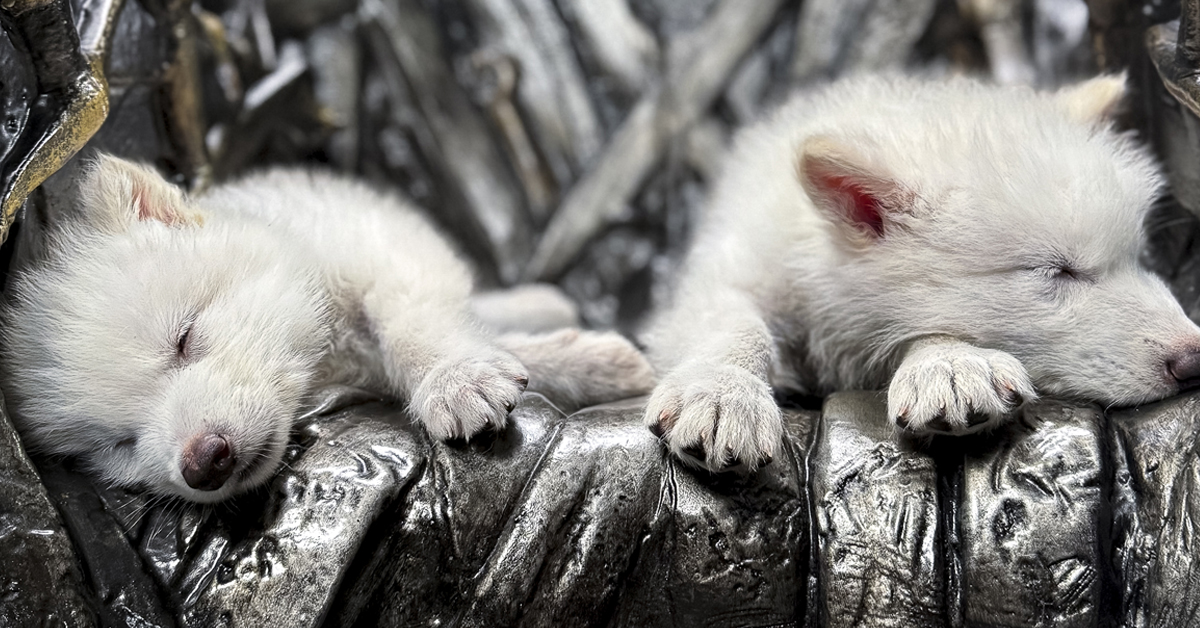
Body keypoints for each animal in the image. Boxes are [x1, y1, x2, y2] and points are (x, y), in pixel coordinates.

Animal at [0, 156, 655, 503]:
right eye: (120, 444)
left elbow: (414, 324)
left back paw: (540, 301)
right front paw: (590, 364)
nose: (202, 462)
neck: (325, 358)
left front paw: (455, 378)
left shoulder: (386, 254)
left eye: (184, 338)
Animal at [642, 73, 1200, 471]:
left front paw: (949, 363)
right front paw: (721, 390)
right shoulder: (731, 270)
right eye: (1056, 271)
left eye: (1137, 259)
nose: (1193, 359)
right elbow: (734, 323)